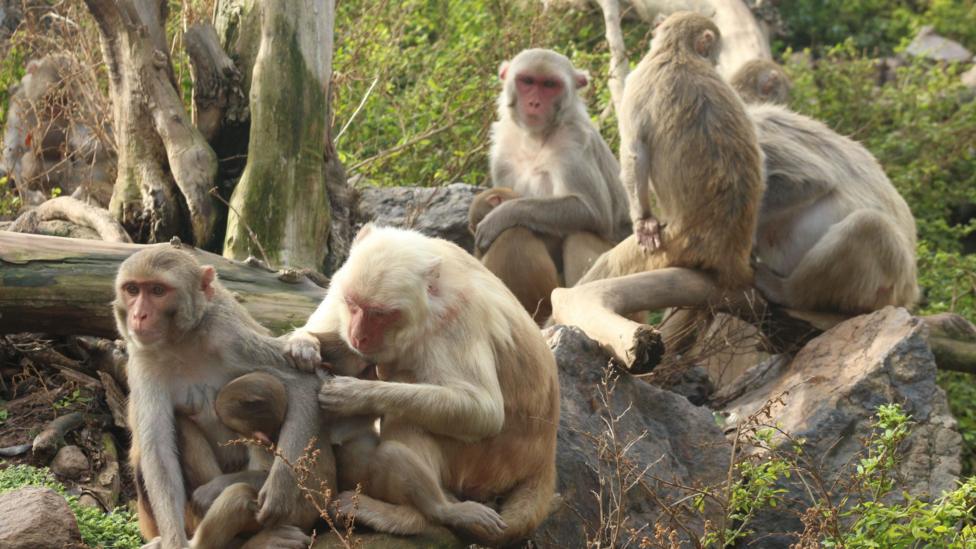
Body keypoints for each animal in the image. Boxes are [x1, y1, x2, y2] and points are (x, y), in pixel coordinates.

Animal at [115, 244, 325, 549]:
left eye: (157, 290)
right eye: (132, 289)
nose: (139, 315)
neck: (183, 342)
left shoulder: (228, 334)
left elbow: (301, 382)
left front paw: (279, 489)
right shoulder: (144, 360)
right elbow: (158, 453)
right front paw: (174, 541)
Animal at [285, 224, 560, 546]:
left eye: (379, 314)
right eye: (353, 305)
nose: (358, 335)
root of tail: (544, 454)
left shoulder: (455, 321)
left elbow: (485, 413)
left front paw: (354, 395)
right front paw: (303, 342)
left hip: (487, 464)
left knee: (408, 406)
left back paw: (412, 516)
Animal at [475, 48, 631, 294]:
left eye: (549, 85)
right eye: (528, 81)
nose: (534, 103)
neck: (535, 138)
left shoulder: (573, 141)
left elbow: (593, 211)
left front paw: (502, 215)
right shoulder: (501, 151)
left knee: (578, 236)